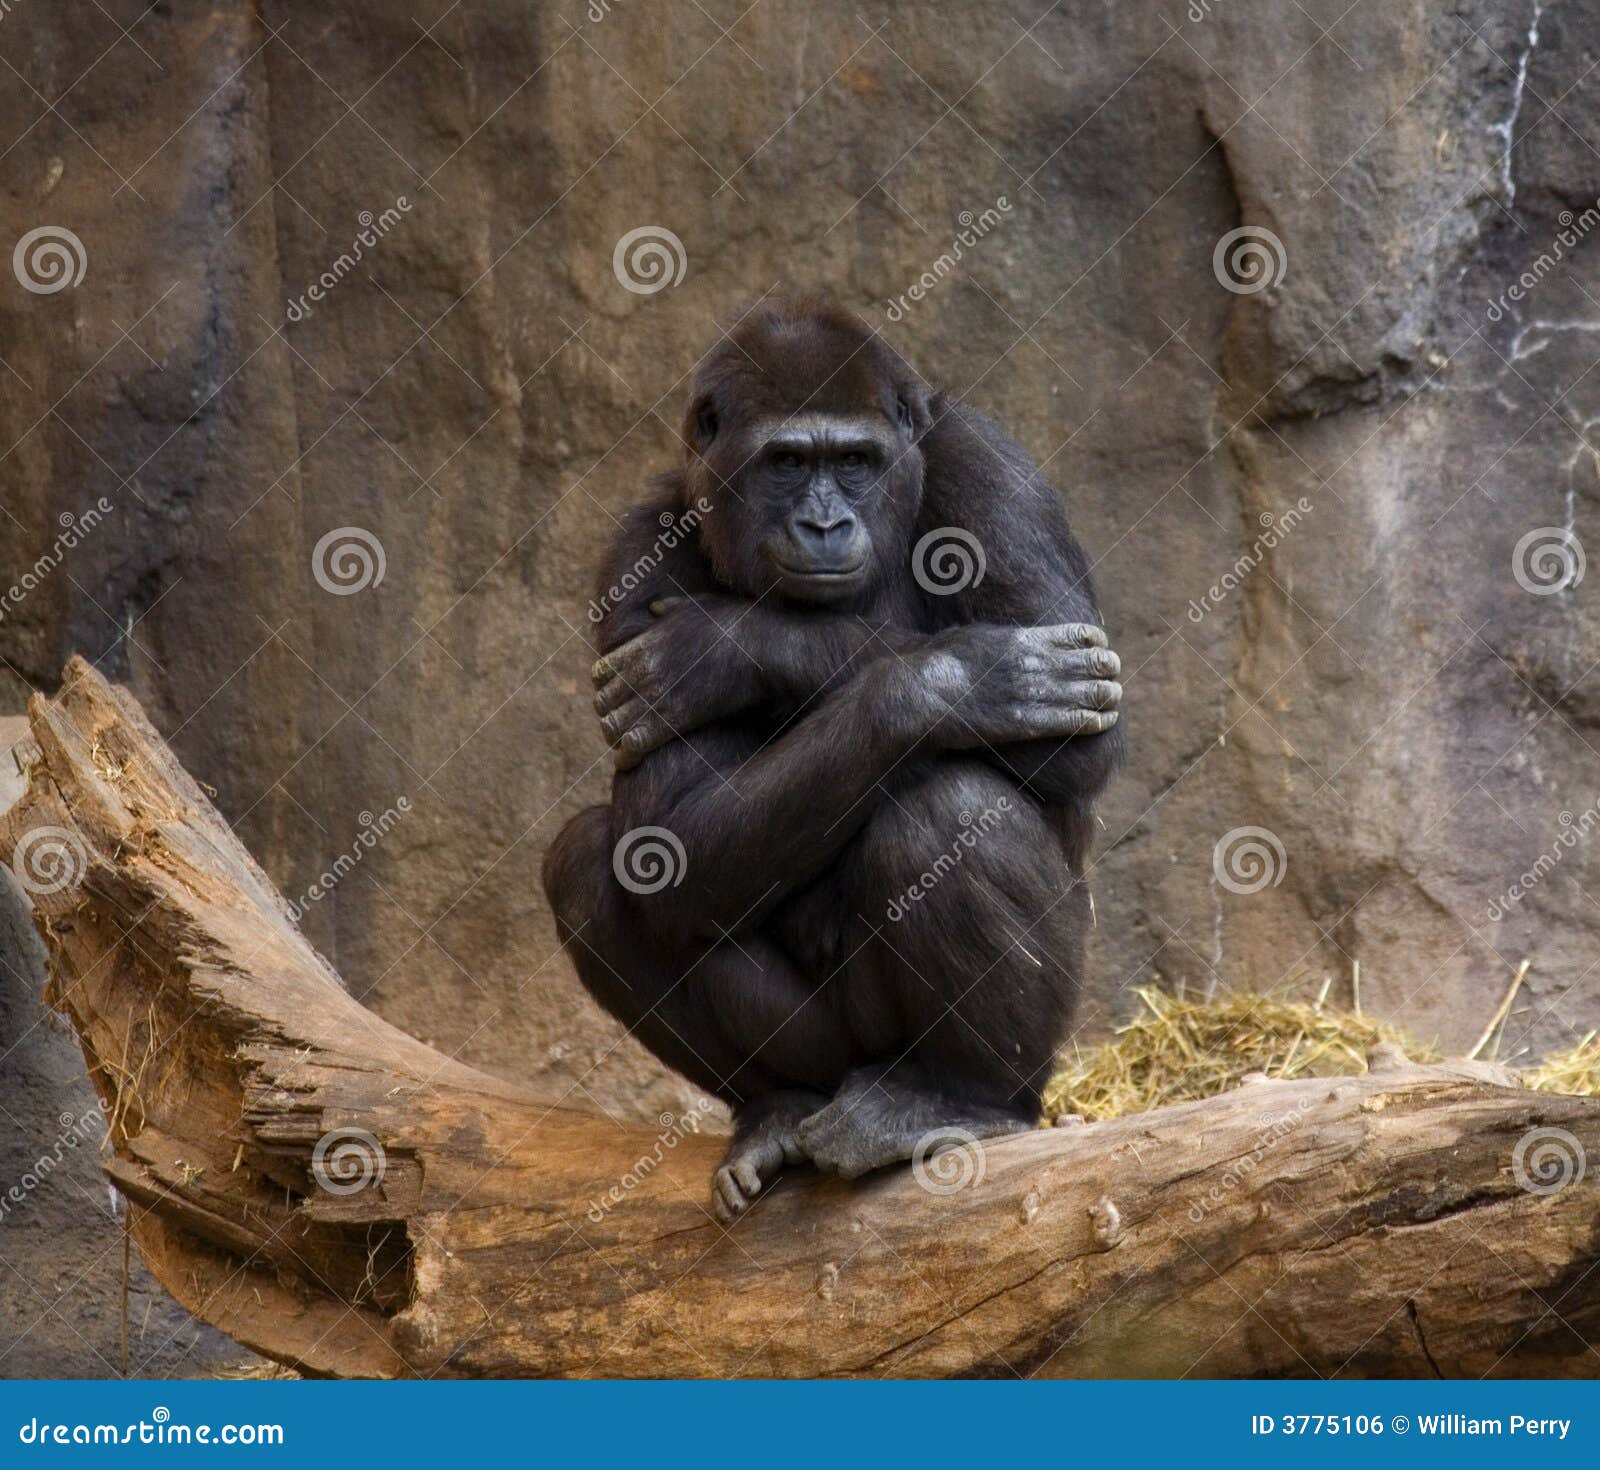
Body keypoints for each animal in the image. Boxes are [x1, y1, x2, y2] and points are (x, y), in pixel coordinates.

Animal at [544, 297, 1122, 1221]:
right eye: (786, 463)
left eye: (854, 462)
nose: (823, 524)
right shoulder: (639, 542)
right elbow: (668, 840)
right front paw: (950, 683)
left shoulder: (990, 465)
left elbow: (1075, 743)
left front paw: (729, 647)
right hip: (830, 1053)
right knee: (590, 867)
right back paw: (778, 1108)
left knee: (952, 810)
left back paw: (963, 1095)